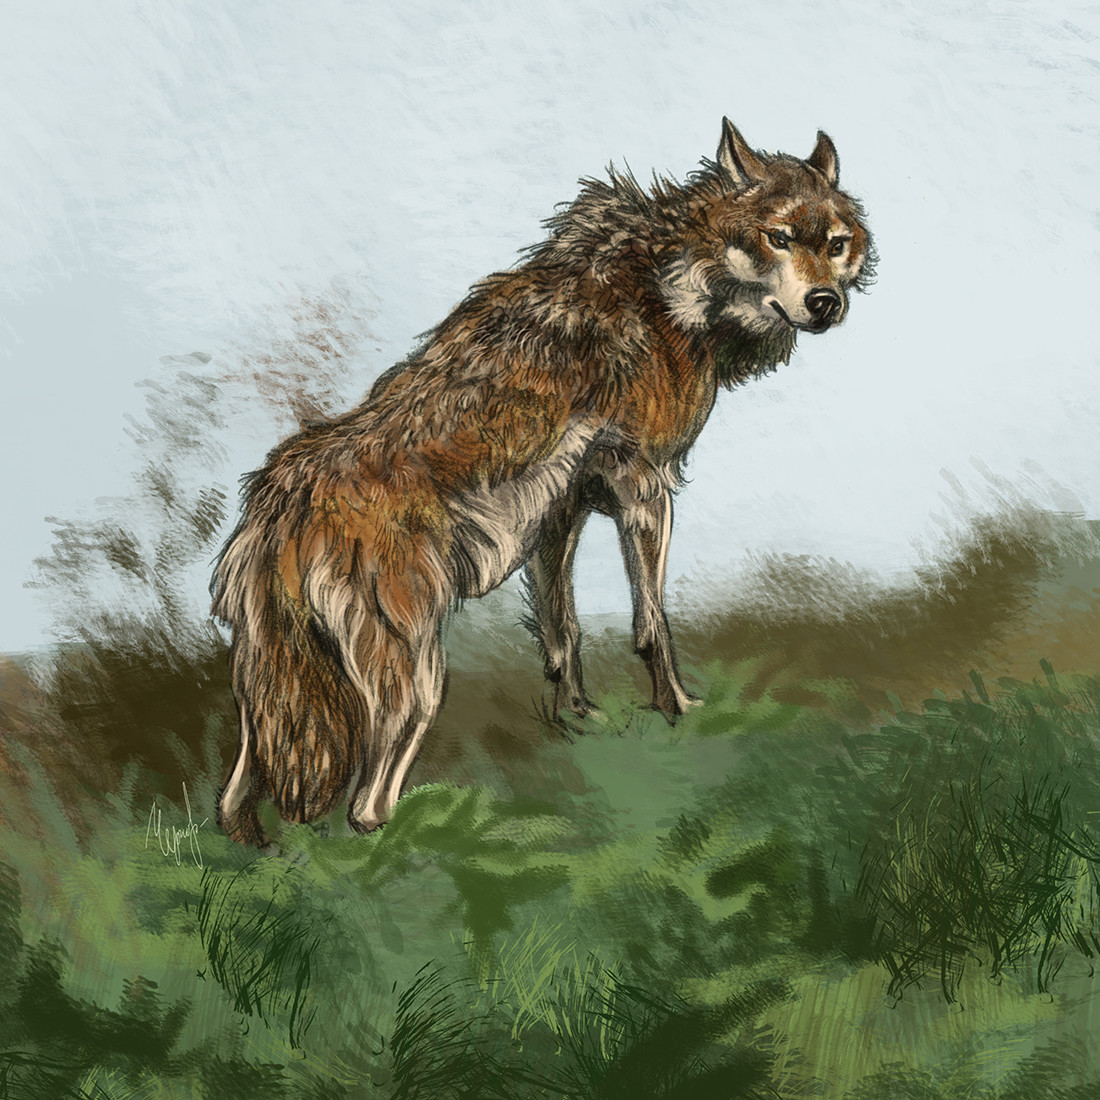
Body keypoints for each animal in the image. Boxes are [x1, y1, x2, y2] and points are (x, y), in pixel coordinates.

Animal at [211, 118, 875, 846]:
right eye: (777, 237)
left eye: (835, 244)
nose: (826, 303)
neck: (671, 279)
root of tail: (281, 496)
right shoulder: (646, 490)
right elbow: (652, 626)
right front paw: (678, 711)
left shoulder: (560, 516)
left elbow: (564, 634)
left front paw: (578, 721)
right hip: (415, 685)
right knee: (365, 809)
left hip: (270, 702)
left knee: (235, 804)